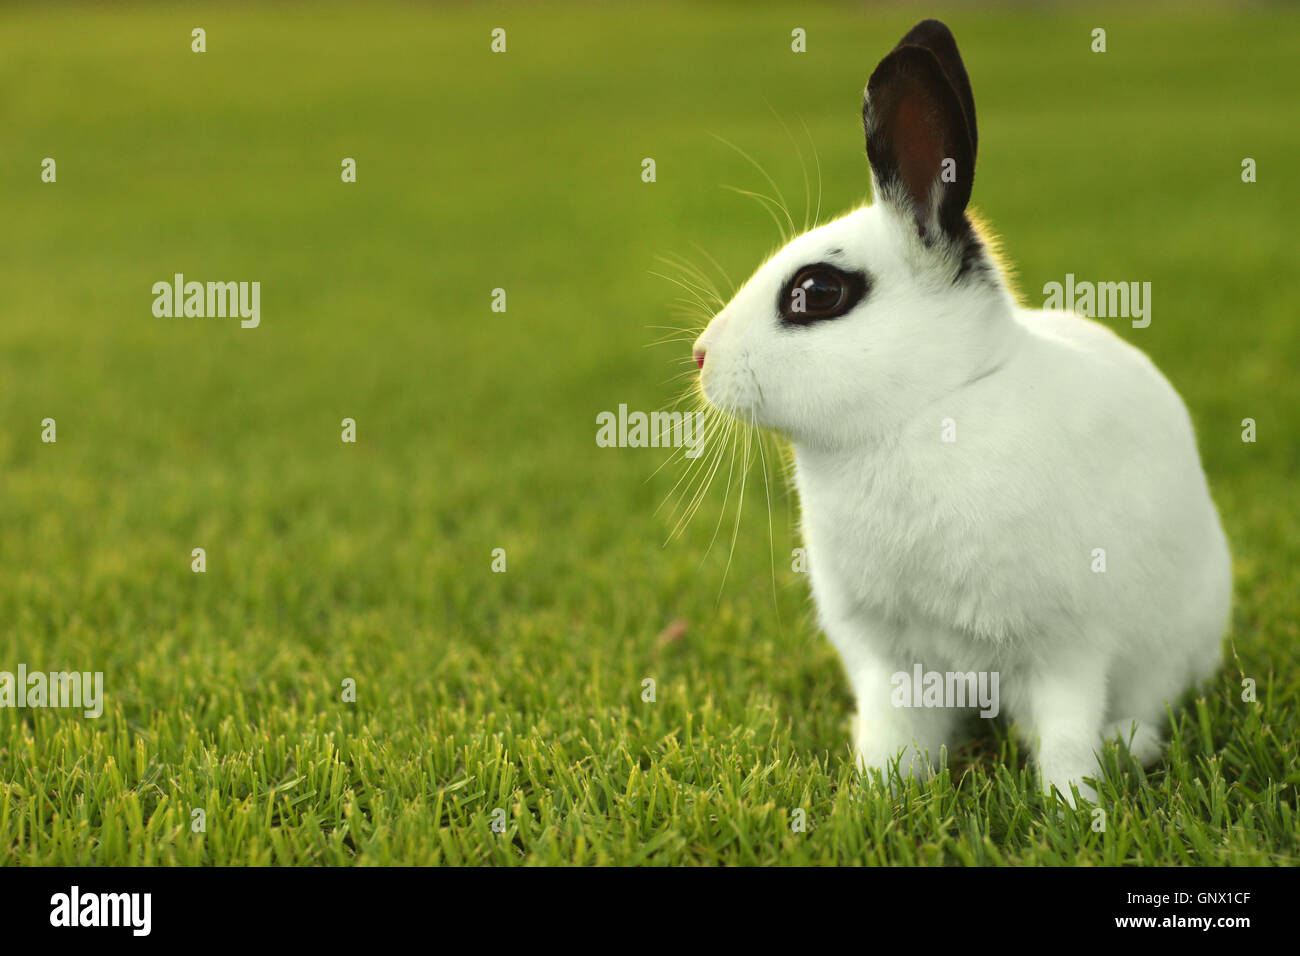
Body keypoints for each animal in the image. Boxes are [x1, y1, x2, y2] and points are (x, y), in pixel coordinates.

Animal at [690, 19, 1231, 804]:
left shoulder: (1066, 650)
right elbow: (894, 736)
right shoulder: (890, 659)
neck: (931, 408)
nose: (701, 357)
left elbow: (1065, 735)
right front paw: (873, 798)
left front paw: (1074, 807)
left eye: (817, 292)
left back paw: (1131, 745)